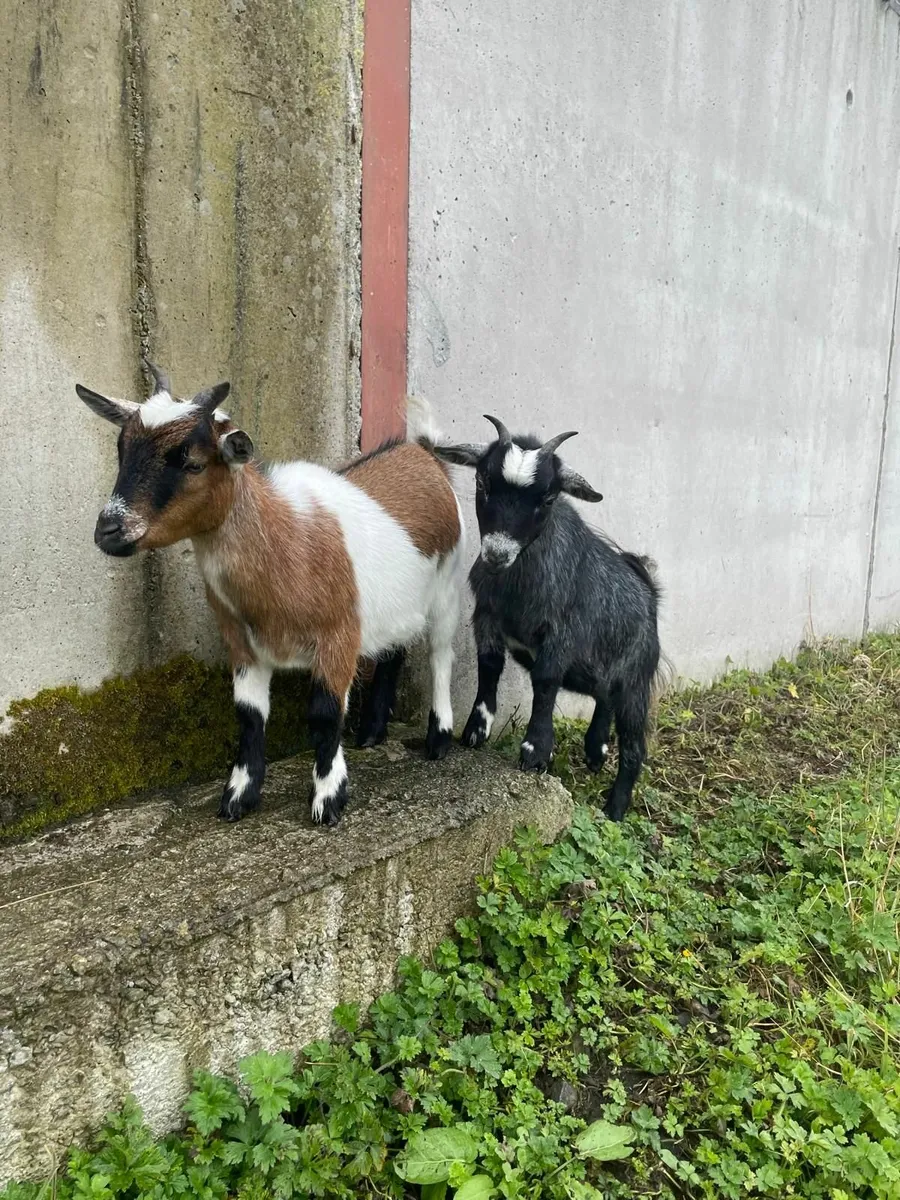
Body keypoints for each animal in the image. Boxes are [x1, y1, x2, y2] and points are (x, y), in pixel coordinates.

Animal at [76, 366, 464, 826]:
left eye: (193, 463)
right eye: (122, 453)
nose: (109, 531)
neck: (287, 539)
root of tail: (424, 453)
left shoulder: (338, 635)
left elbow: (324, 714)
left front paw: (328, 800)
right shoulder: (242, 642)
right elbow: (249, 717)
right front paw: (238, 797)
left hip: (447, 587)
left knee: (440, 654)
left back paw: (438, 740)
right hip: (396, 603)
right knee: (394, 650)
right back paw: (371, 733)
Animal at [434, 414, 660, 821]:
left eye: (548, 499)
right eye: (482, 482)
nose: (496, 555)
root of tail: (651, 596)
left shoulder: (561, 634)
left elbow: (545, 680)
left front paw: (536, 751)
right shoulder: (486, 617)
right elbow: (488, 664)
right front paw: (477, 728)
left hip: (636, 681)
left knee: (635, 747)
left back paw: (615, 809)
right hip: (594, 672)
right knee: (603, 695)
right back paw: (595, 750)